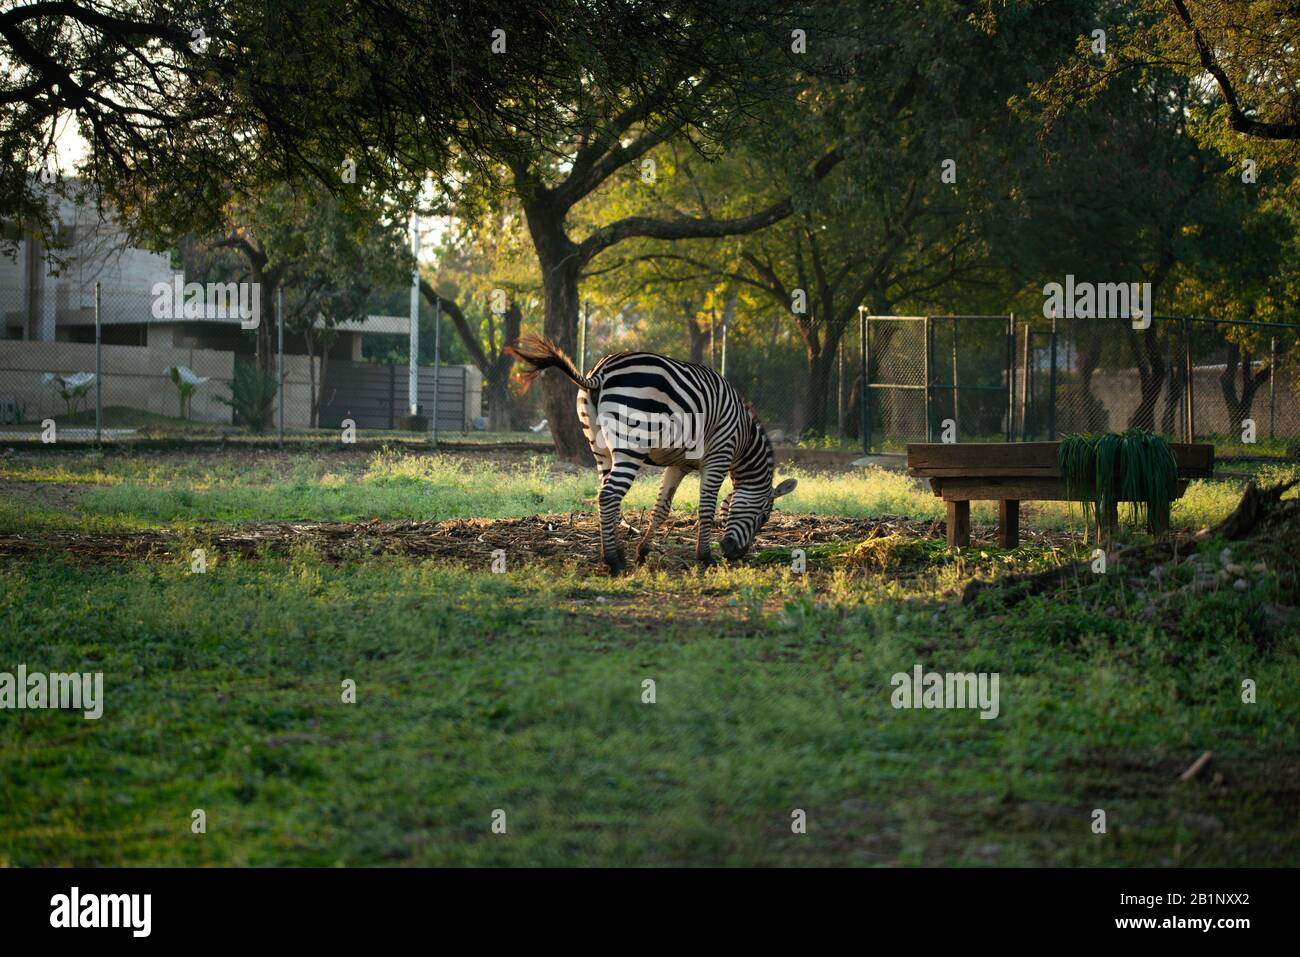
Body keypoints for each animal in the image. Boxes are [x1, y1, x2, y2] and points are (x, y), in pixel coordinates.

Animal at [504, 335, 797, 573]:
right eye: (764, 516)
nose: (736, 555)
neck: (743, 439)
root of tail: (600, 372)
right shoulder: (718, 456)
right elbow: (706, 508)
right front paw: (705, 557)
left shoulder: (679, 464)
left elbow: (661, 509)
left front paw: (643, 552)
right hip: (631, 444)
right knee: (609, 496)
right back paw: (614, 562)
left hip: (599, 447)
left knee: (605, 495)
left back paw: (615, 554)